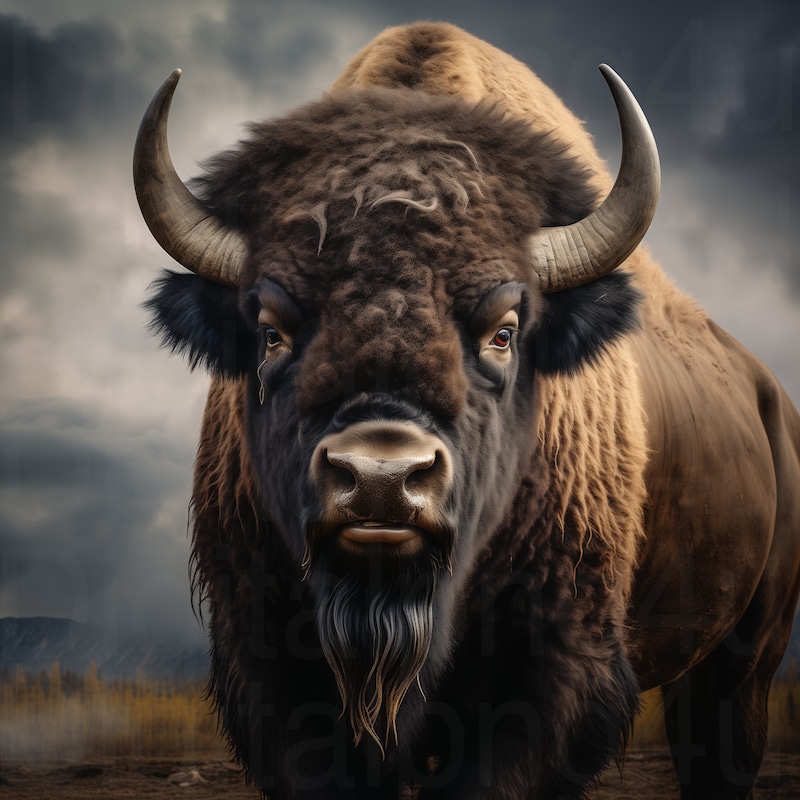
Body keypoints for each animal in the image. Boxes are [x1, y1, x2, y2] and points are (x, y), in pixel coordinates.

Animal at [134, 22, 800, 800]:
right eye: (270, 330)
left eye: (504, 332)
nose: (382, 480)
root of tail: (771, 400)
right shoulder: (269, 666)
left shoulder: (548, 672)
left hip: (746, 658)